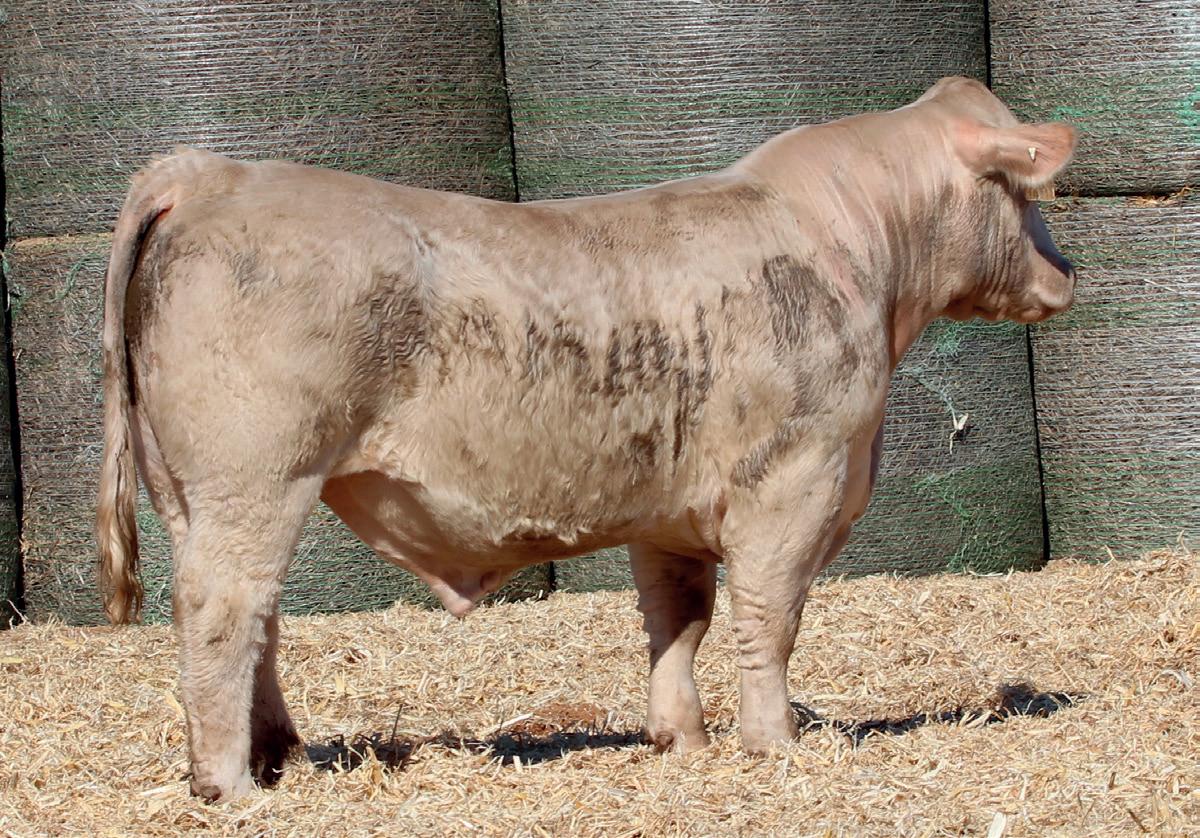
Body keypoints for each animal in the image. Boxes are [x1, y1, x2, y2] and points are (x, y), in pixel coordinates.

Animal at [95, 76, 1077, 801]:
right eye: (1030, 195)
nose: (1066, 272)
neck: (862, 264)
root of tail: (216, 172)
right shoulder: (795, 479)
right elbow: (770, 617)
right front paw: (776, 744)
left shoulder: (669, 509)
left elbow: (679, 621)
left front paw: (681, 739)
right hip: (255, 476)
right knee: (222, 610)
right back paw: (231, 785)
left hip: (185, 487)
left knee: (255, 614)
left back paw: (279, 757)